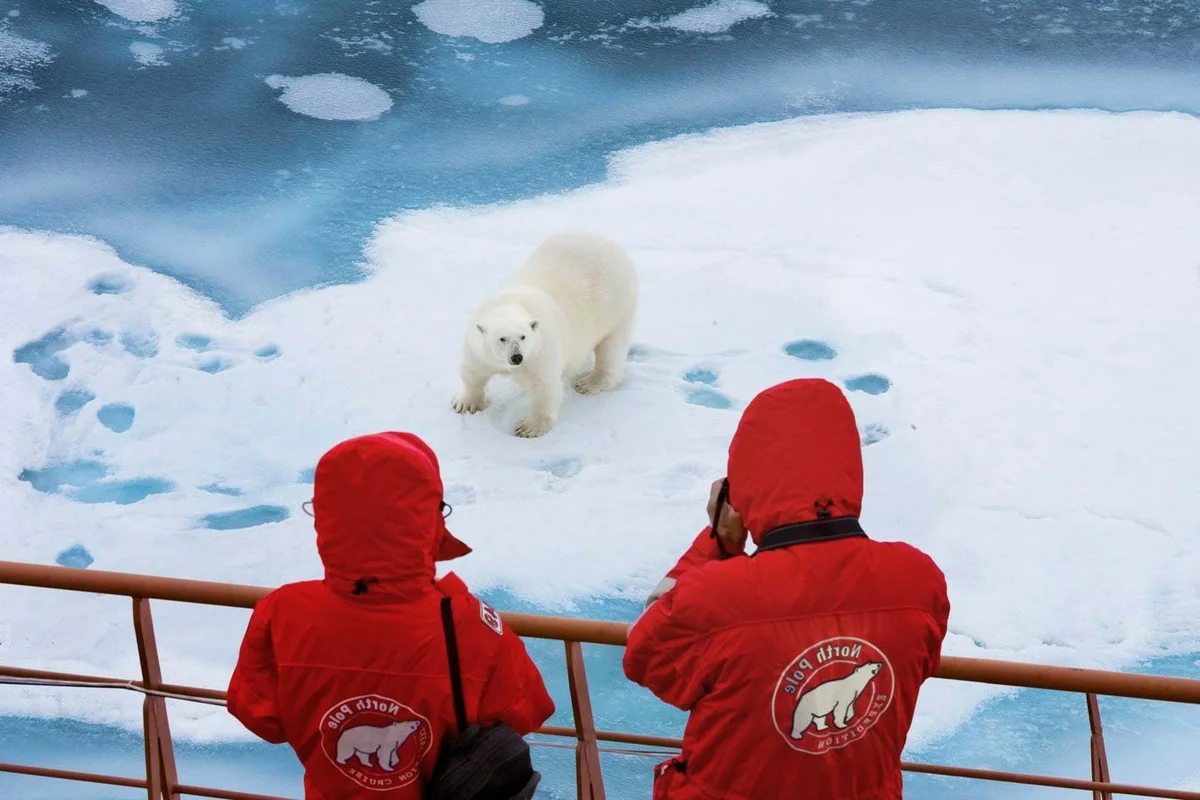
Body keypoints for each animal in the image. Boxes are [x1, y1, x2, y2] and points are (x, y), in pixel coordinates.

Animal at [451, 231, 638, 441]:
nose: (516, 357)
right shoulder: (476, 348)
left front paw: (528, 428)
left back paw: (589, 383)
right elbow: (472, 372)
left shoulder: (539, 351)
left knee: (611, 346)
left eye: (523, 337)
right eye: (502, 339)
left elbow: (544, 387)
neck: (509, 303)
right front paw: (466, 404)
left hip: (616, 304)